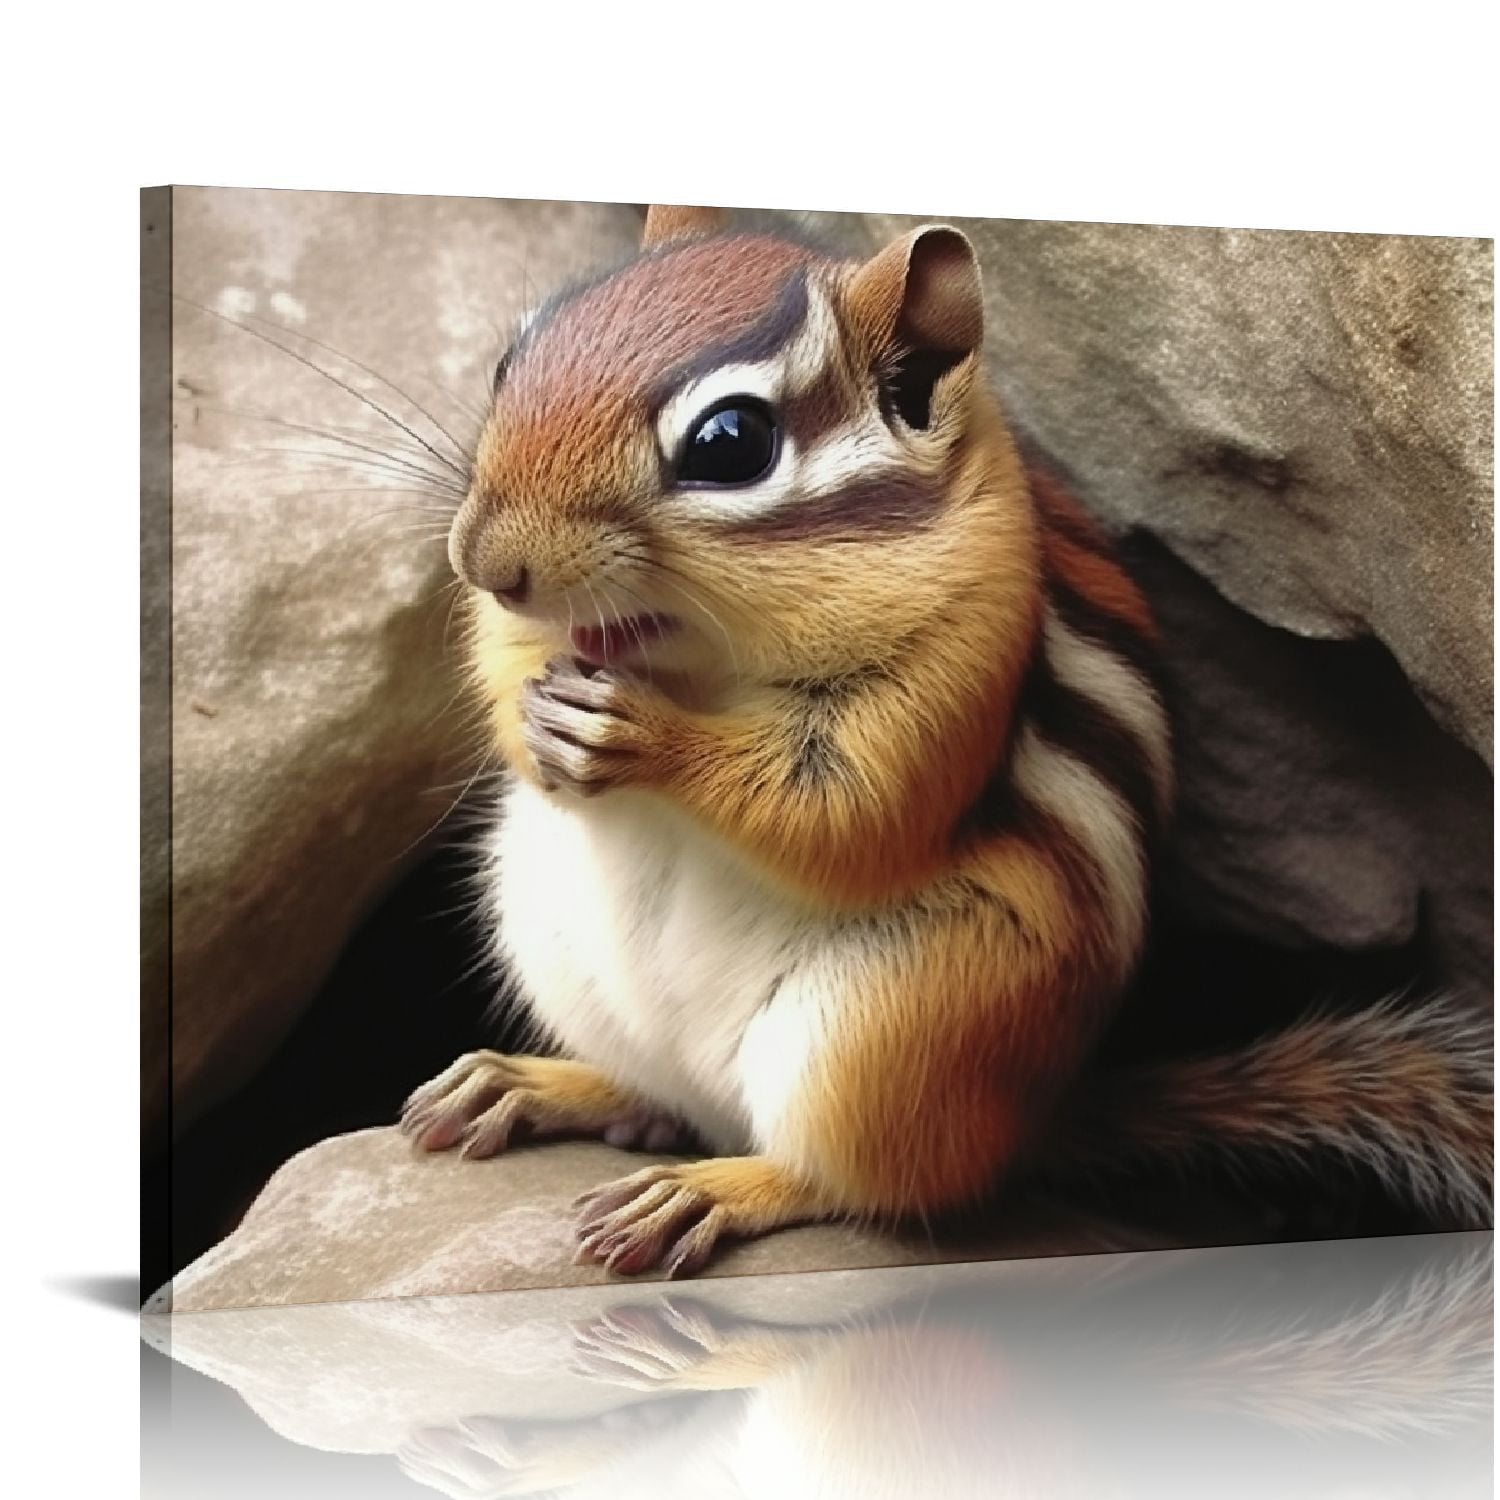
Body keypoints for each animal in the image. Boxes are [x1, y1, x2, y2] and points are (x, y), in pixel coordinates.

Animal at [398, 203, 1493, 1276]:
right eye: (511, 359)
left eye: (729, 442)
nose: (487, 557)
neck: (695, 652)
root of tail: (1027, 1124)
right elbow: (505, 658)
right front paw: (537, 716)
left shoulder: (965, 649)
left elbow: (849, 803)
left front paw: (642, 736)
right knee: (661, 1097)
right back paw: (536, 1086)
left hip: (886, 1028)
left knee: (853, 1182)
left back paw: (710, 1189)